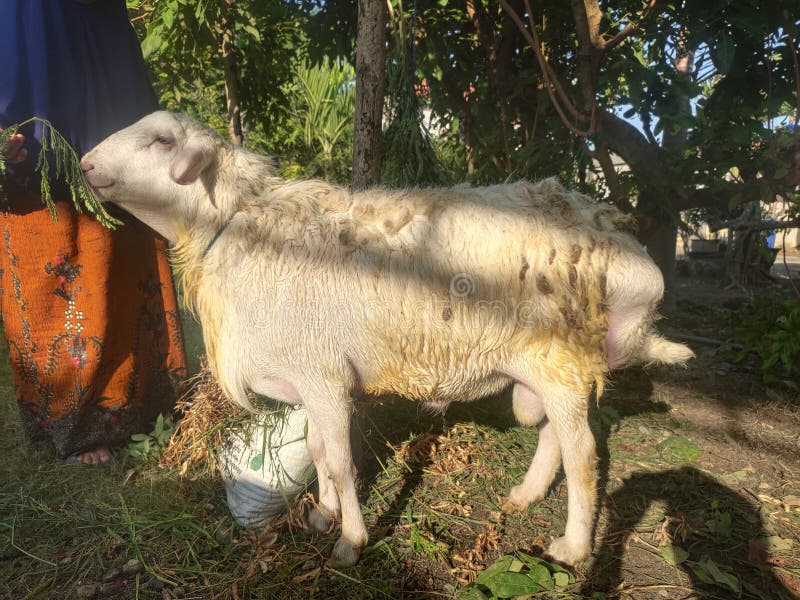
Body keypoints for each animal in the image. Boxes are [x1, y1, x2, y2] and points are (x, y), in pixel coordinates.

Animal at [80, 111, 694, 568]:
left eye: (162, 140)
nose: (84, 164)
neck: (235, 230)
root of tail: (618, 237)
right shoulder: (309, 378)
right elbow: (321, 453)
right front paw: (323, 515)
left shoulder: (324, 376)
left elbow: (342, 461)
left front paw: (351, 541)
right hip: (542, 369)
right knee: (551, 436)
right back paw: (525, 495)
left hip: (560, 358)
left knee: (584, 453)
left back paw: (572, 546)